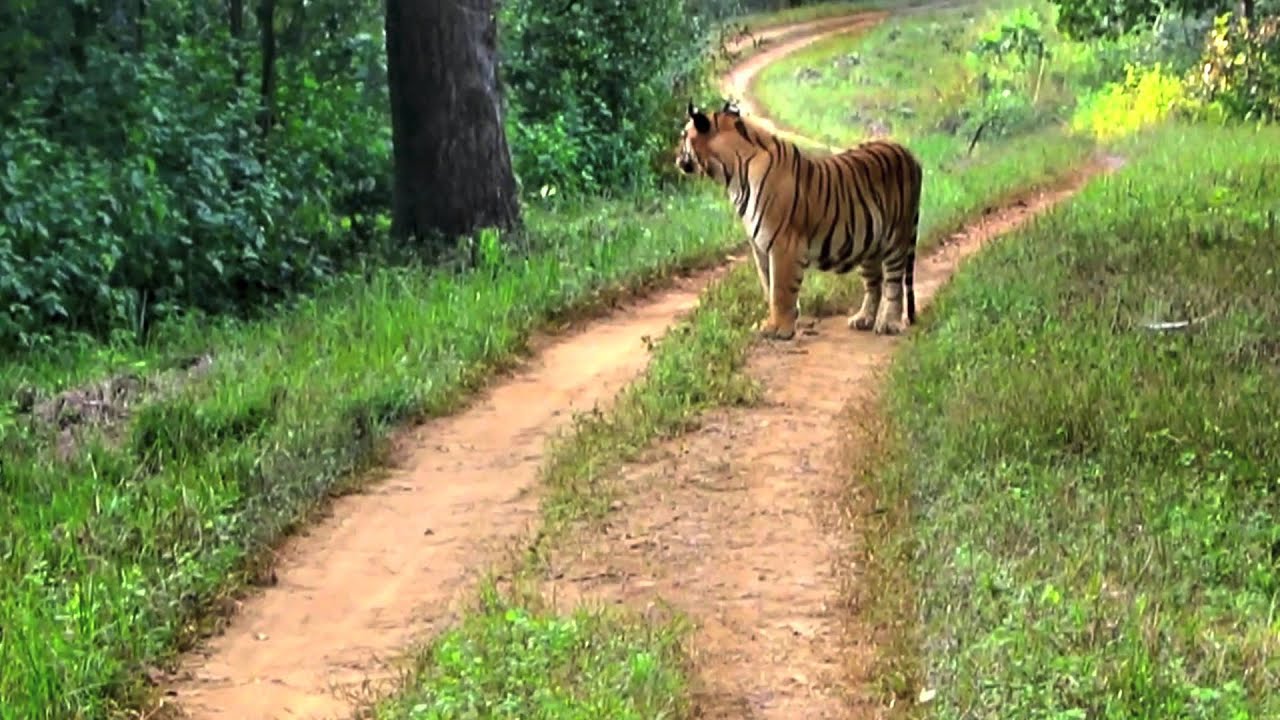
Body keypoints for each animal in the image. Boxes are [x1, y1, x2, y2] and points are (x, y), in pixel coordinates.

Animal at [675, 100, 923, 340]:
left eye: (683, 136)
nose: (676, 157)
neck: (732, 174)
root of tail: (910, 155)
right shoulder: (760, 247)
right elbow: (769, 286)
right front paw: (775, 323)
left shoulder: (783, 244)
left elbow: (780, 290)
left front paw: (780, 329)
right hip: (869, 243)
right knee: (874, 282)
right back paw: (863, 319)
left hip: (896, 238)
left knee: (894, 284)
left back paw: (888, 323)